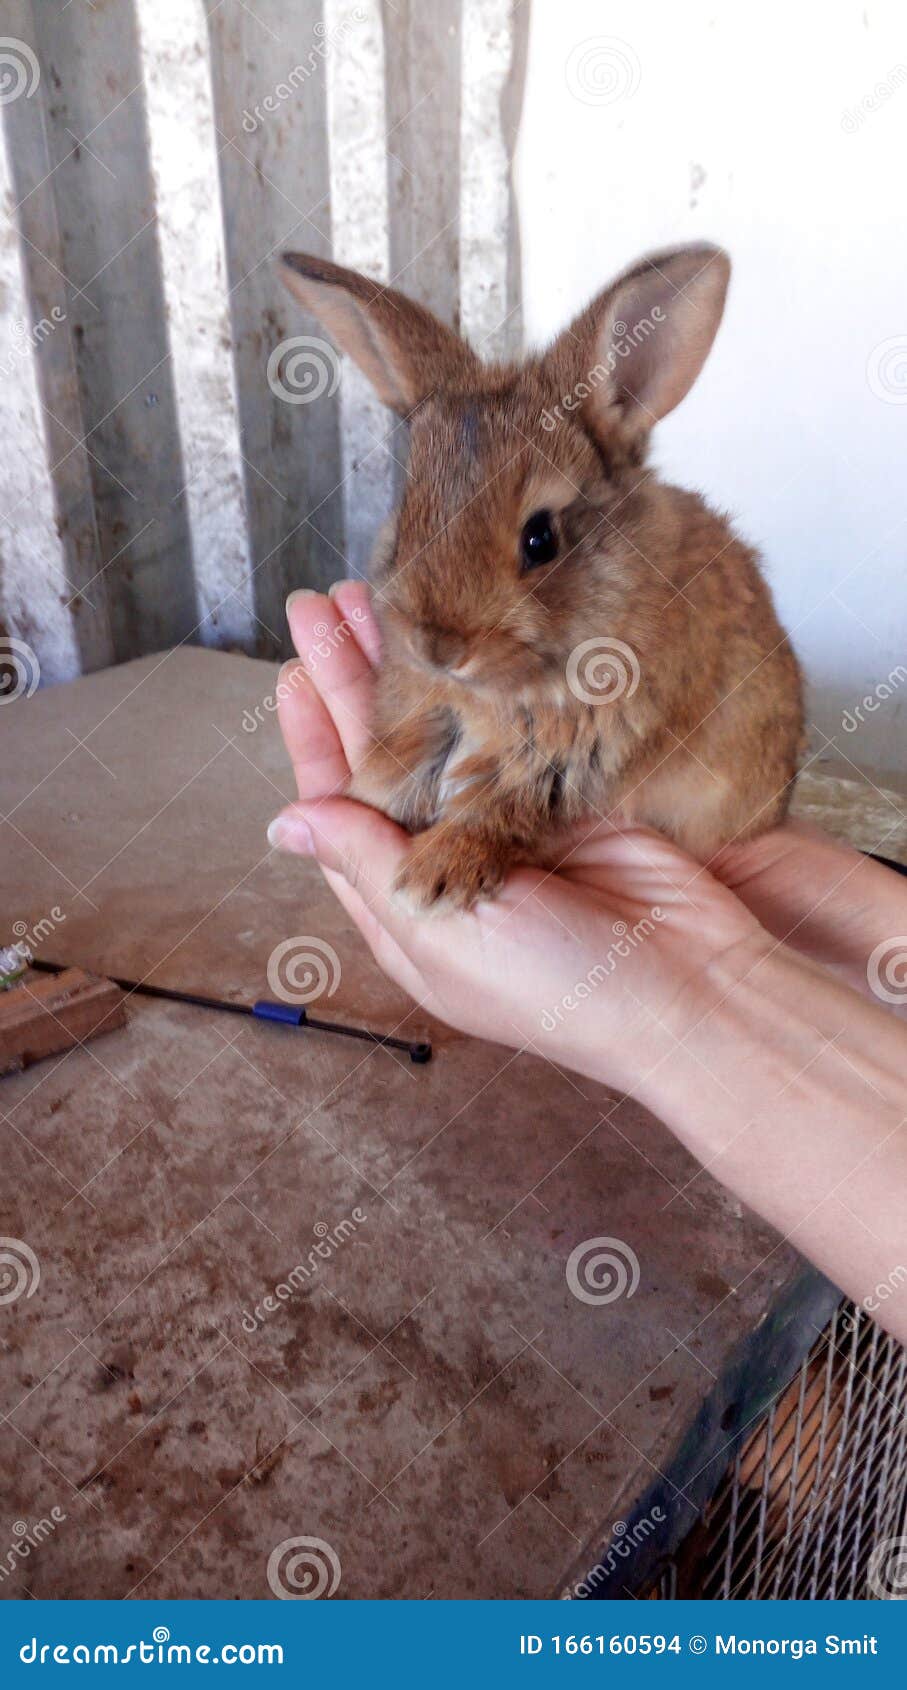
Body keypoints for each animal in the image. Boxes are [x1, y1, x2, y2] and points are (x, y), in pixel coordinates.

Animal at [280, 243, 803, 913]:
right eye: (406, 517)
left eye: (541, 539)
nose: (439, 648)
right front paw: (373, 798)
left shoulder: (574, 755)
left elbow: (506, 808)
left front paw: (439, 875)